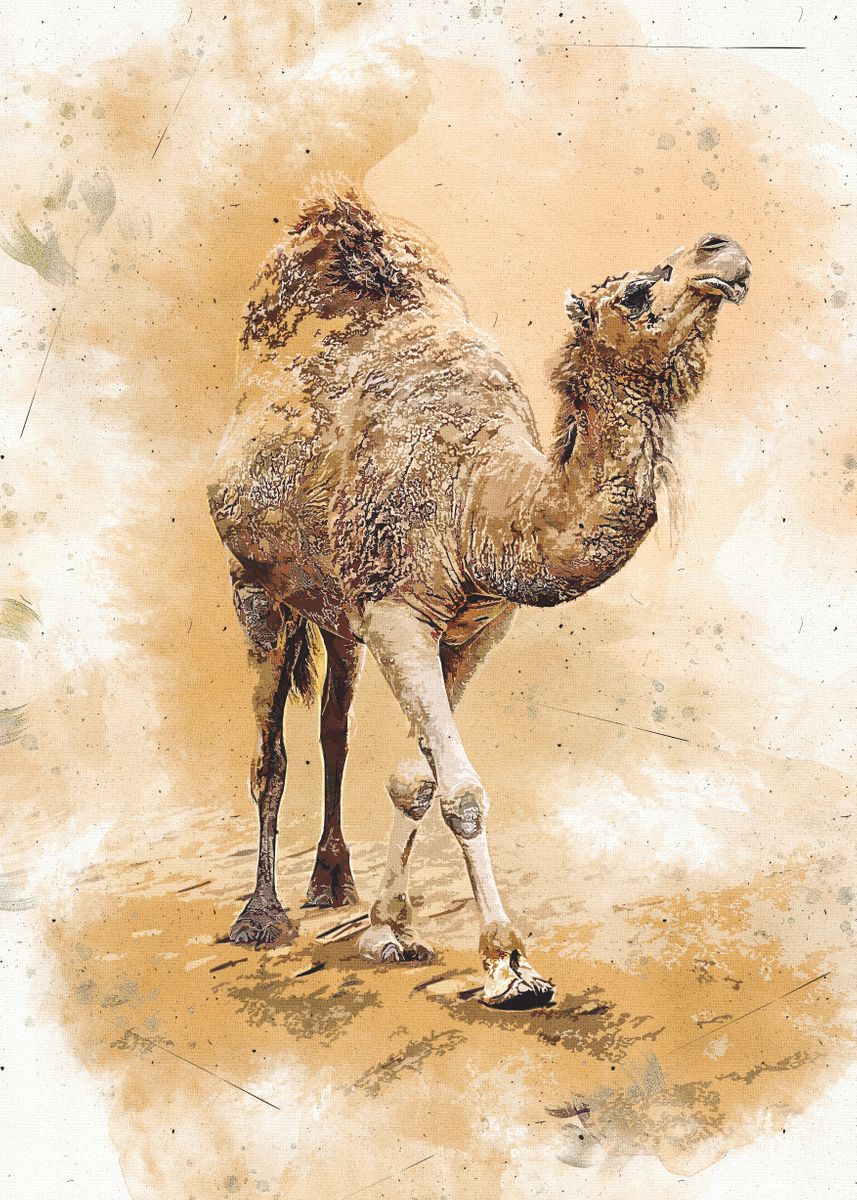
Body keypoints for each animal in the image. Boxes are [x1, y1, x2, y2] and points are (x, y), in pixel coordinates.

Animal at [209, 187, 750, 1008]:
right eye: (633, 290)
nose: (723, 248)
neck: (485, 503)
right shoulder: (398, 612)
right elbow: (460, 790)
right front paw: (508, 963)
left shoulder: (476, 625)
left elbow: (415, 780)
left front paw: (388, 928)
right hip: (254, 584)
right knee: (268, 754)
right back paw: (261, 916)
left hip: (335, 608)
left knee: (334, 725)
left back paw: (331, 883)